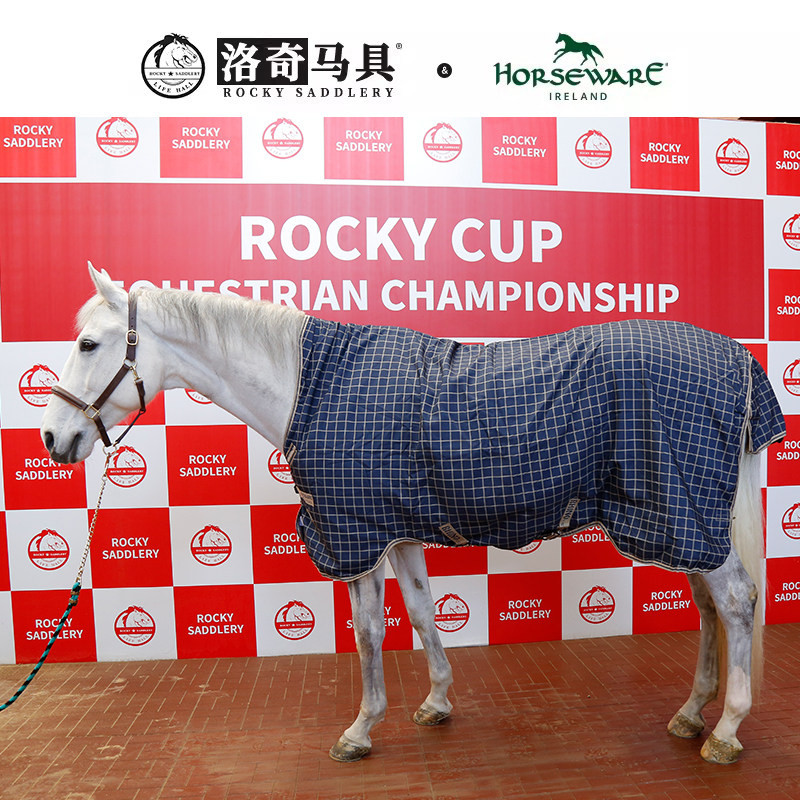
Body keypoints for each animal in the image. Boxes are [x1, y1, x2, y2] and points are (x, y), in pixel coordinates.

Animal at [40, 264, 785, 765]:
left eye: (86, 344)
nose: (52, 439)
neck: (311, 386)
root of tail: (735, 357)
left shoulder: (354, 534)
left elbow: (370, 632)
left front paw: (360, 730)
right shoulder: (394, 533)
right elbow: (425, 614)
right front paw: (436, 703)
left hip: (683, 514)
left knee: (735, 601)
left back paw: (726, 730)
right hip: (683, 520)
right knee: (709, 606)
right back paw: (691, 715)